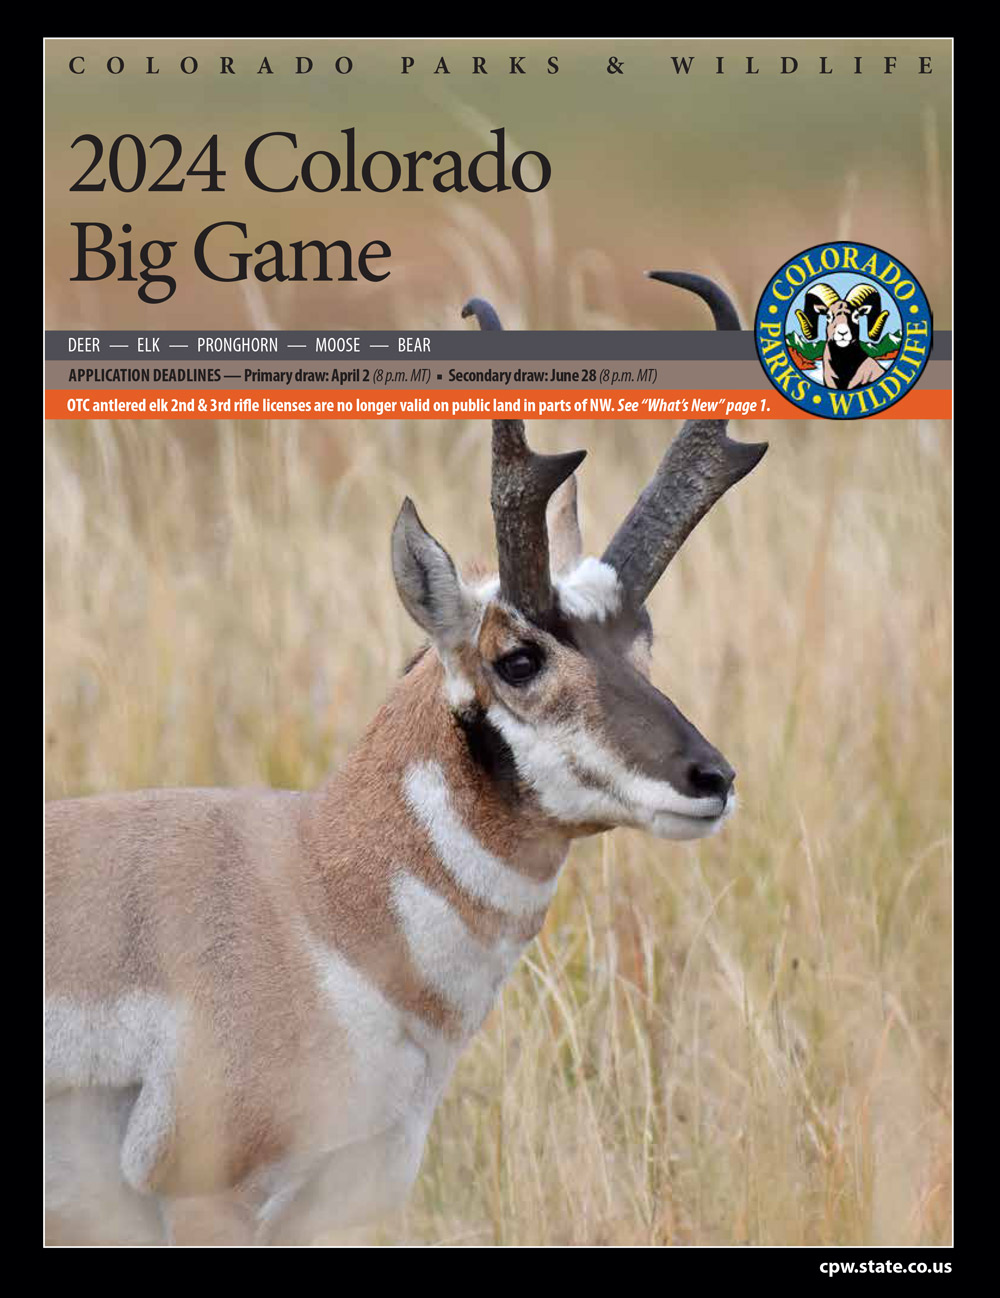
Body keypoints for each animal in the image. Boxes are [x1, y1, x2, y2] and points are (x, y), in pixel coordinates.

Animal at [44, 271, 768, 1246]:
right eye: (519, 658)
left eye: (641, 639)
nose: (712, 779)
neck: (316, 886)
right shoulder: (206, 1200)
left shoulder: (350, 1194)